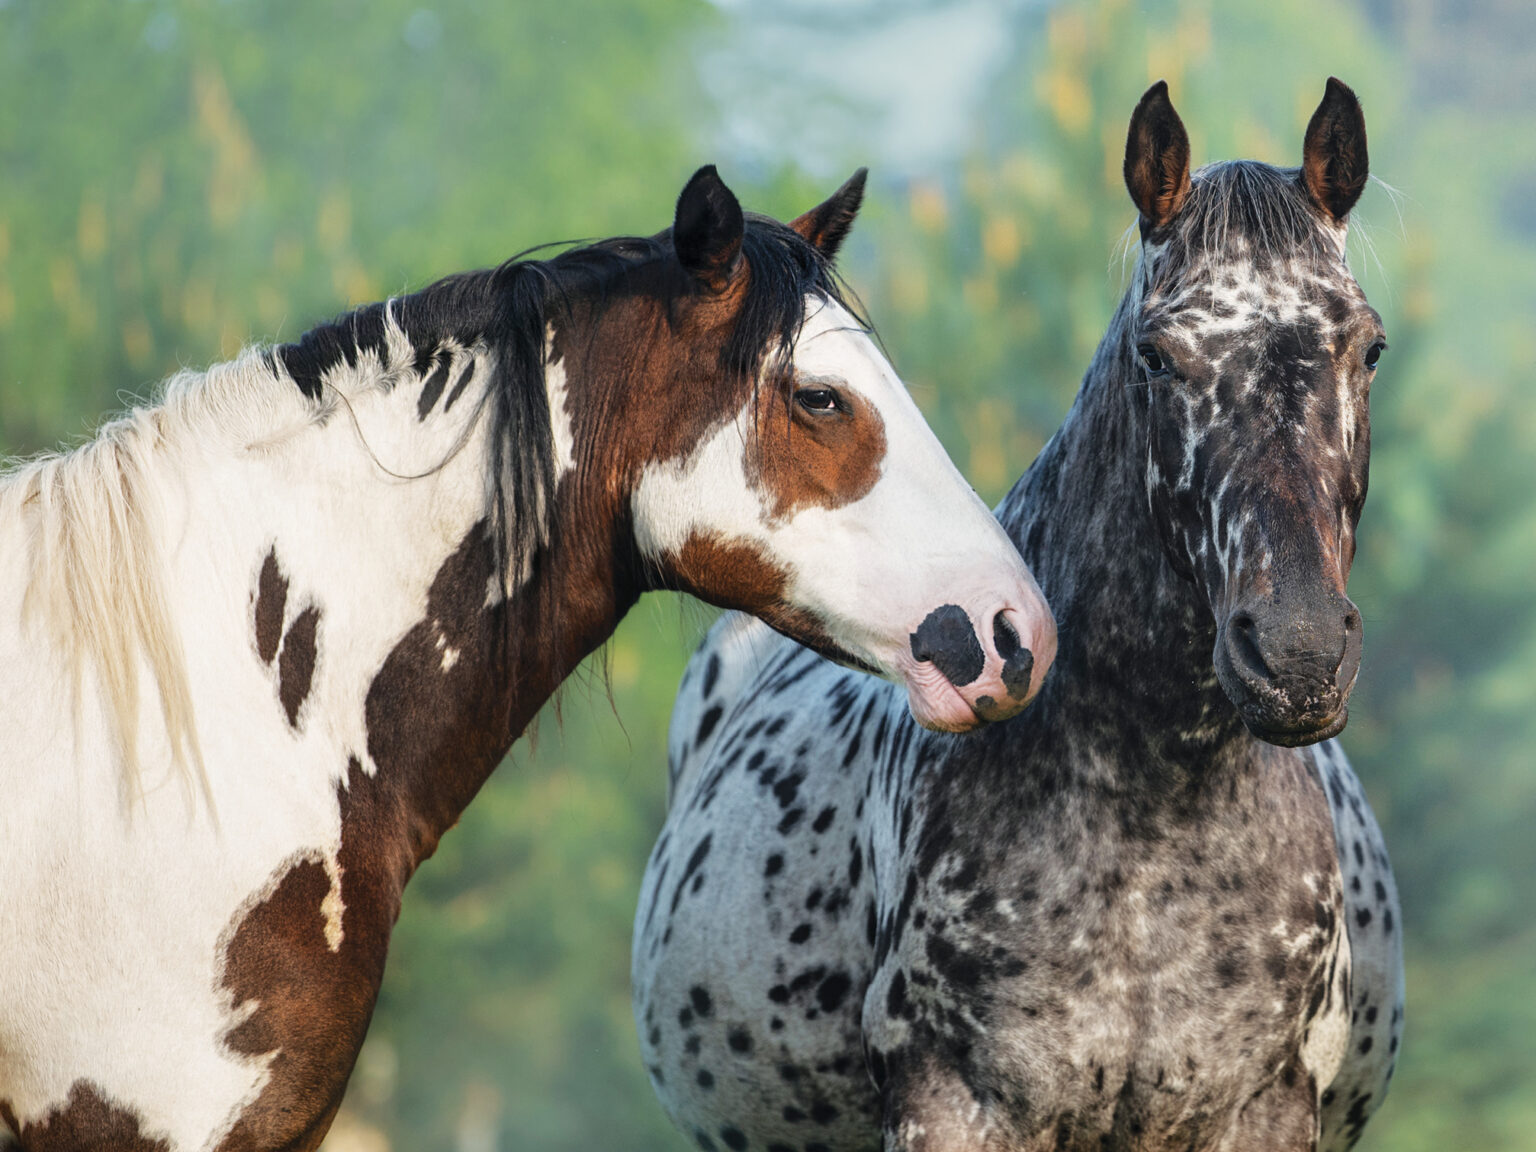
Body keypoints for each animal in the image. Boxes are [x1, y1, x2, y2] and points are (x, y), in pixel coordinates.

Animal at [634, 80, 1403, 1152]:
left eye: (1367, 346)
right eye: (1157, 356)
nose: (1296, 651)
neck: (1150, 818)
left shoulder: (1266, 1107)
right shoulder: (952, 1103)